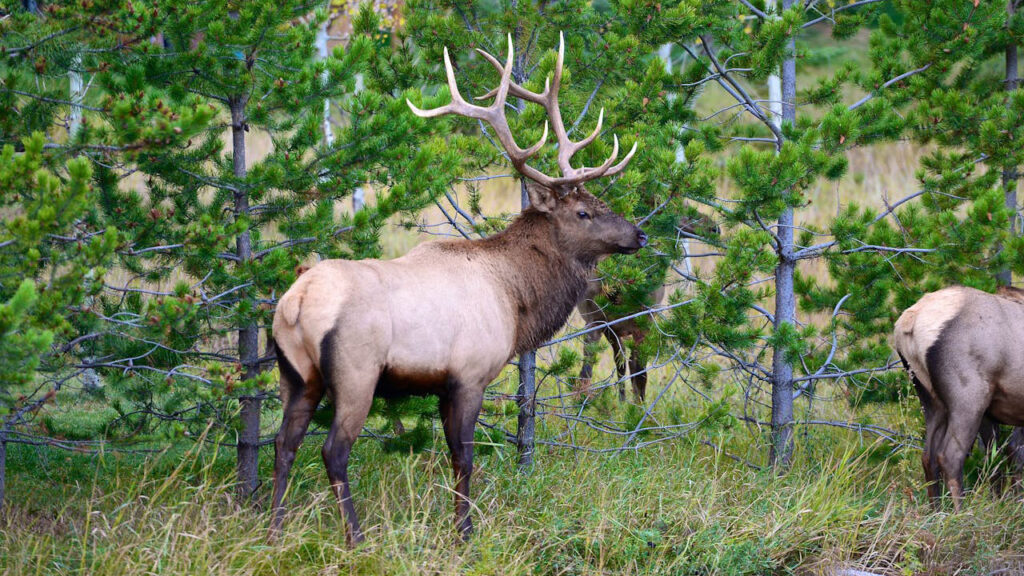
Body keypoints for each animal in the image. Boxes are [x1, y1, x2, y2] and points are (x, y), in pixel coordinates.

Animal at [268, 34, 647, 544]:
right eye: (583, 212)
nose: (639, 235)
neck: (516, 300)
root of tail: (297, 302)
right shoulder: (469, 374)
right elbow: (464, 457)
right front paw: (464, 532)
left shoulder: (444, 384)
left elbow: (453, 456)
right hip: (355, 371)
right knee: (333, 450)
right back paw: (356, 537)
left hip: (295, 373)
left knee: (283, 443)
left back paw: (273, 530)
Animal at [893, 285, 1024, 510]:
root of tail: (910, 322)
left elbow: (999, 455)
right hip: (969, 399)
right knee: (950, 457)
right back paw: (961, 513)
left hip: (933, 401)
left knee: (928, 456)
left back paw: (937, 512)